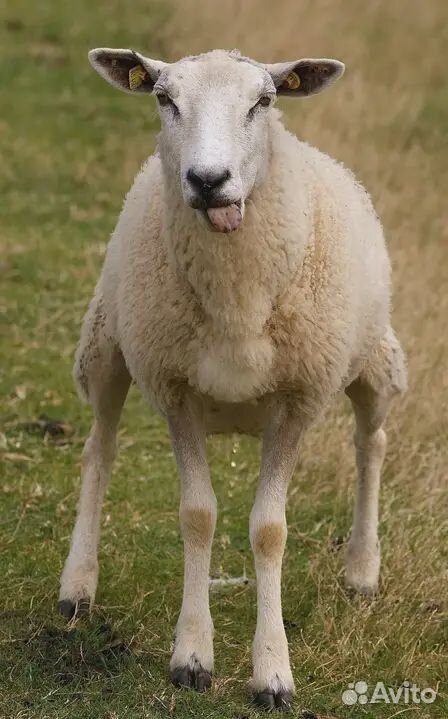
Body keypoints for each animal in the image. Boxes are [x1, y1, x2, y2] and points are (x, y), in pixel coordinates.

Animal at [58, 48, 407, 711]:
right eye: (164, 98)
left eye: (263, 101)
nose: (207, 179)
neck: (236, 302)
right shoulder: (175, 391)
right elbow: (198, 516)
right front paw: (193, 655)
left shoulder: (298, 399)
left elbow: (269, 531)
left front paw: (272, 671)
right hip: (108, 343)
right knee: (99, 448)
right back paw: (77, 585)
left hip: (374, 360)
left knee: (370, 443)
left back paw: (361, 570)